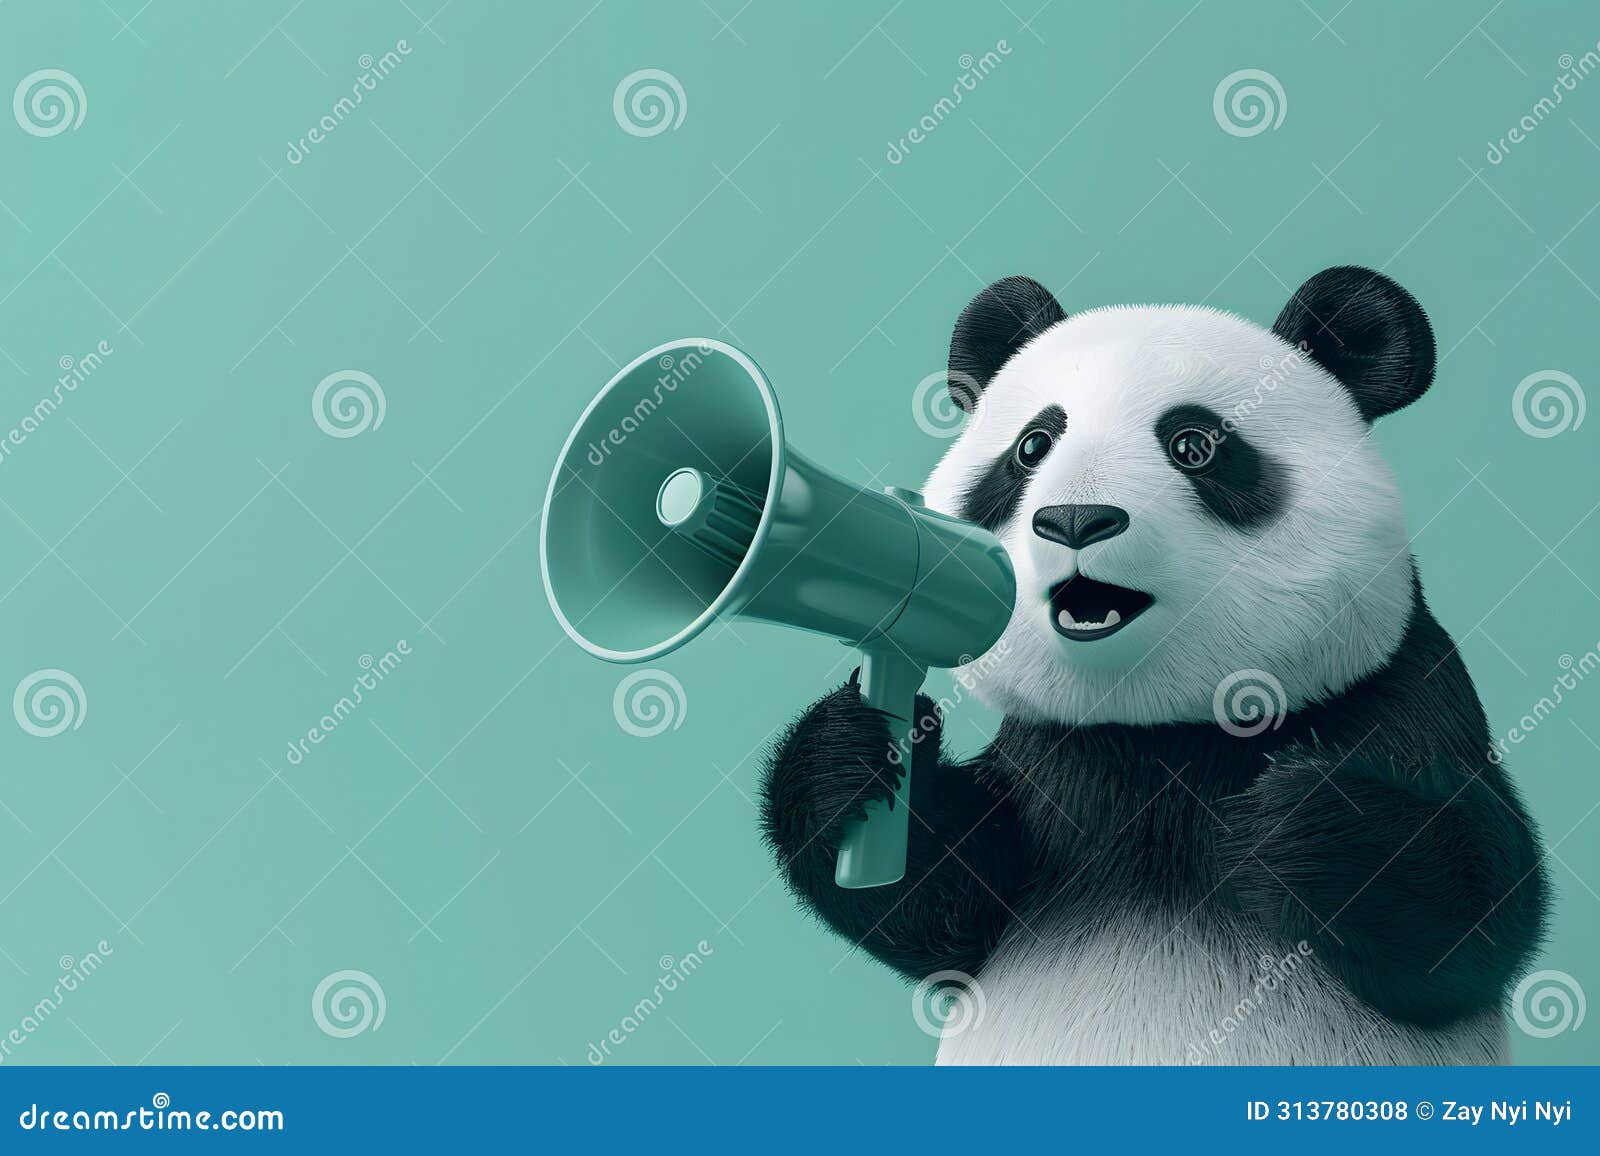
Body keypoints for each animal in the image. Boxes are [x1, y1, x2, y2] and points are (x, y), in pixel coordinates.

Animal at [759, 267, 1550, 1065]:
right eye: (1033, 445)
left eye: (1194, 444)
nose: (1075, 520)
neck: (1164, 726)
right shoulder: (1052, 760)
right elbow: (944, 907)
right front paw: (846, 759)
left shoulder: (1400, 688)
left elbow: (1477, 917)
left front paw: (1296, 822)